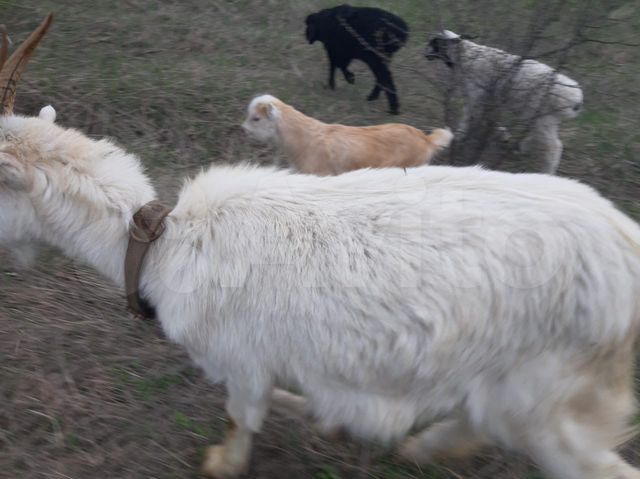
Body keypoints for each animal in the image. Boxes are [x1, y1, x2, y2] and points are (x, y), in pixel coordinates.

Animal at [425, 30, 583, 173]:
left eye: (436, 43)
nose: (426, 55)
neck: (467, 56)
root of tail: (575, 98)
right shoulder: (487, 98)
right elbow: (482, 116)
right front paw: (501, 134)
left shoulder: (477, 95)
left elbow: (472, 116)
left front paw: (461, 137)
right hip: (541, 116)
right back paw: (521, 148)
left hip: (544, 116)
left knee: (554, 146)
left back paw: (547, 171)